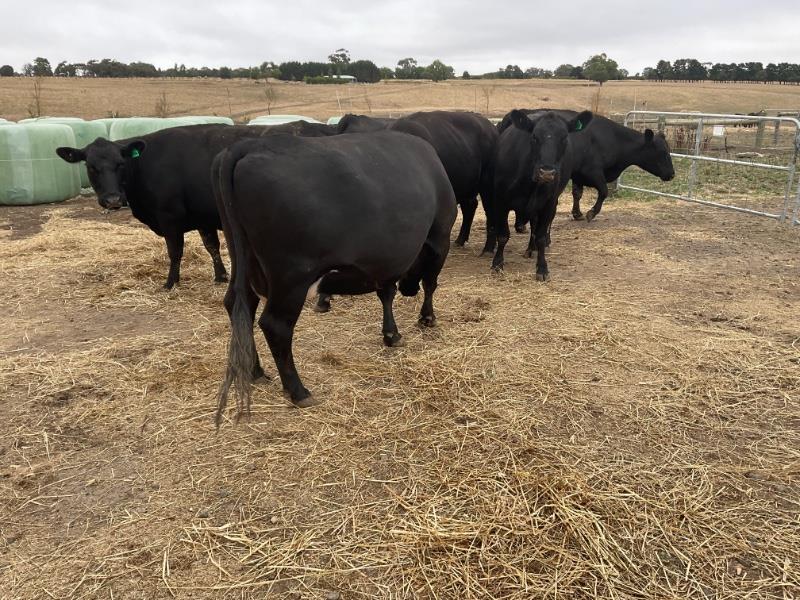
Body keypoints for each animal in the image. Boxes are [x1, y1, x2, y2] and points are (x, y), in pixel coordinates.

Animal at [56, 121, 336, 289]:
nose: (113, 199)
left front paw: (170, 283)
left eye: (120, 164)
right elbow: (211, 246)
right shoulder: (203, 217)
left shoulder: (169, 217)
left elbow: (175, 251)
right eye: (91, 166)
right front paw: (221, 276)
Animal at [212, 131, 456, 423]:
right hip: (292, 277)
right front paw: (427, 318)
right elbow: (430, 282)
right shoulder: (439, 238)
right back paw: (298, 391)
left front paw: (391, 334)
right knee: (275, 325)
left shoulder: (382, 260)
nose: (409, 289)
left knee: (241, 308)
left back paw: (256, 371)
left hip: (244, 263)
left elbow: (386, 292)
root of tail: (247, 146)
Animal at [488, 110, 593, 281]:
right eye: (534, 137)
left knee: (535, 228)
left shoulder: (548, 204)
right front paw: (497, 264)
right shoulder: (501, 201)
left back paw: (531, 249)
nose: (547, 172)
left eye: (564, 137)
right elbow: (503, 235)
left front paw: (542, 268)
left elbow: (541, 237)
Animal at [497, 109, 674, 232]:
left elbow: (577, 193)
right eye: (663, 153)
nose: (672, 174)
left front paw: (577, 213)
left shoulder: (578, 175)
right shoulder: (593, 172)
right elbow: (604, 191)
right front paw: (591, 213)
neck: (613, 138)